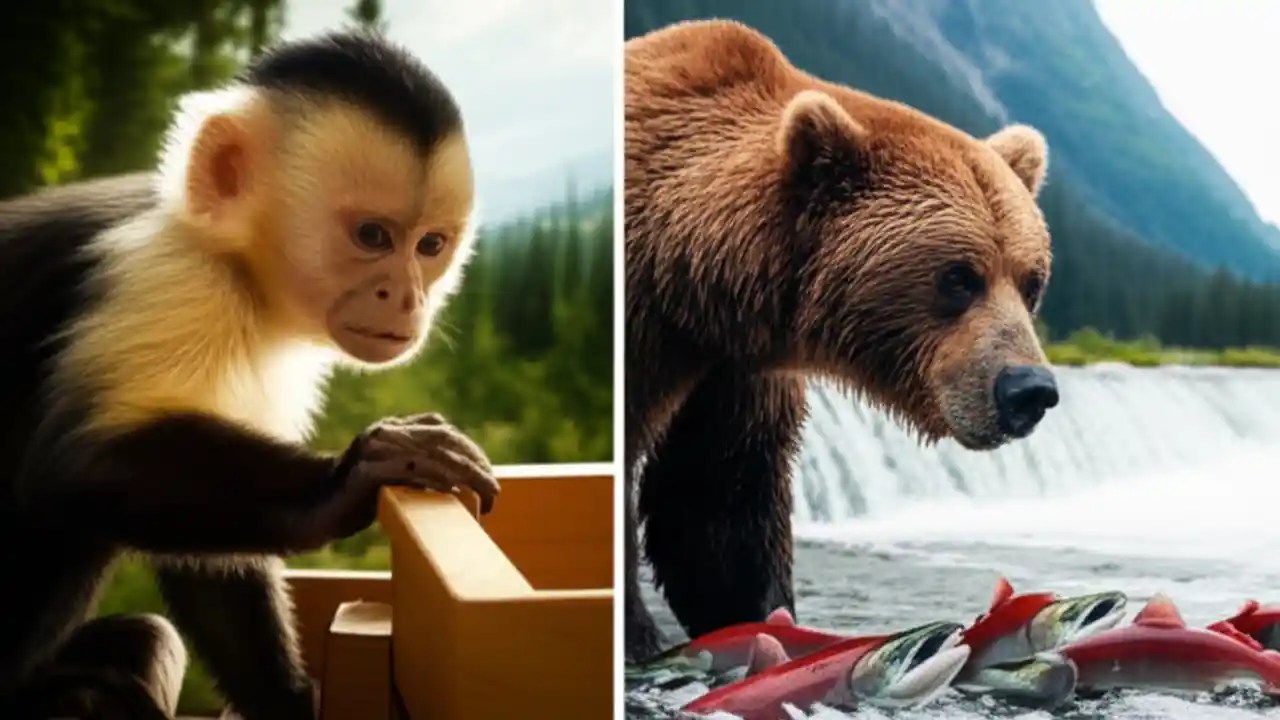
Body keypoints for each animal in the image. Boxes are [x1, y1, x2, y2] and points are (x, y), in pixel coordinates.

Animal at [0, 32, 497, 719]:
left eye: (430, 245)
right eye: (372, 236)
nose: (406, 298)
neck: (236, 262)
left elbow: (213, 575)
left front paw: (284, 703)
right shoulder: (171, 274)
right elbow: (76, 465)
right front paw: (346, 480)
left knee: (148, 638)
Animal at [624, 19, 1060, 660]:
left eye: (1032, 282)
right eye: (958, 277)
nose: (1028, 389)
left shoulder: (732, 372)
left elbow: (718, 503)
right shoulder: (650, 334)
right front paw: (639, 639)